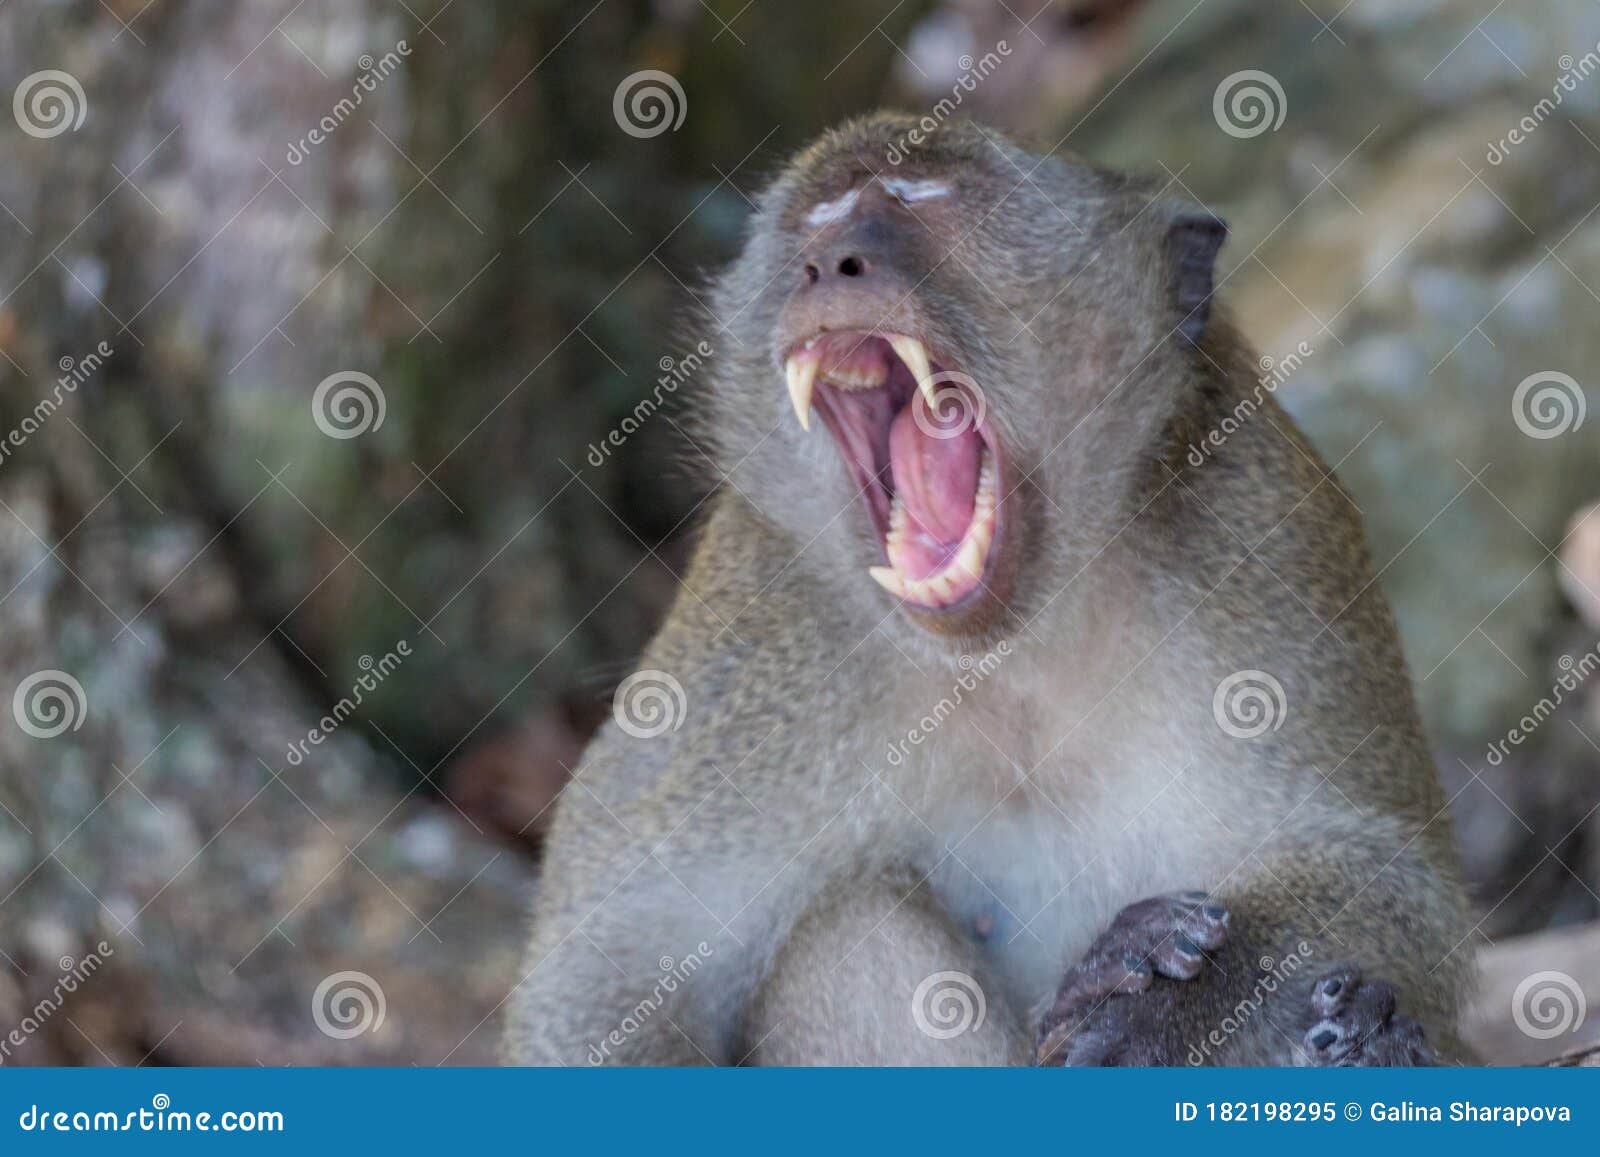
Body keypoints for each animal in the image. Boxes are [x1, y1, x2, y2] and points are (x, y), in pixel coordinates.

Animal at [502, 112, 1475, 1067]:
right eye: (814, 226)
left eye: (923, 197)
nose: (827, 265)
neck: (1012, 647)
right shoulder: (752, 636)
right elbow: (617, 964)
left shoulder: (1266, 526)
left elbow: (1386, 875)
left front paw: (1166, 1013)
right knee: (850, 932)